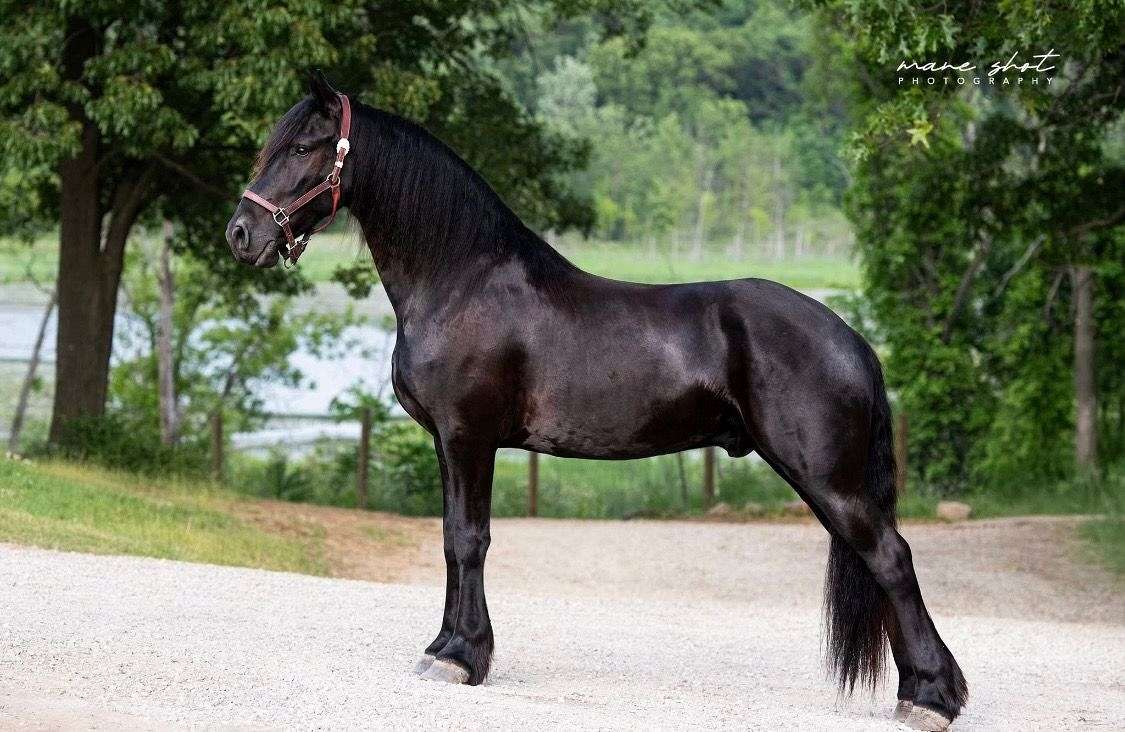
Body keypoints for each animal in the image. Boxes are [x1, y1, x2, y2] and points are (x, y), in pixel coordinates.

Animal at [226, 72, 967, 731]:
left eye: (304, 147)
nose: (241, 234)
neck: (461, 281)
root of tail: (849, 336)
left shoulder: (468, 436)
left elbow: (469, 539)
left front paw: (462, 658)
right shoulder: (447, 440)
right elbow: (448, 539)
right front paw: (445, 647)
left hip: (827, 479)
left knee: (891, 558)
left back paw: (930, 699)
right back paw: (925, 690)